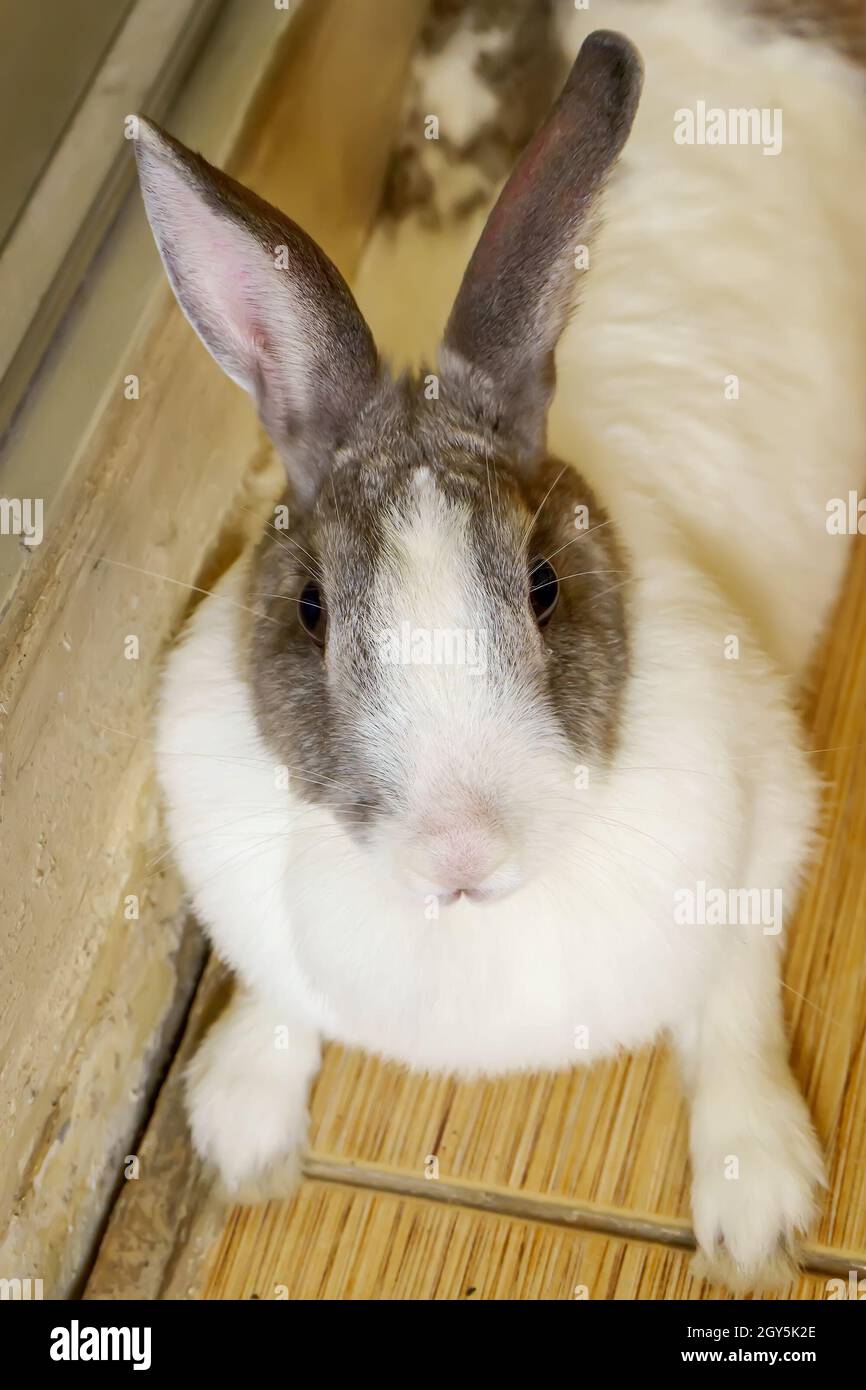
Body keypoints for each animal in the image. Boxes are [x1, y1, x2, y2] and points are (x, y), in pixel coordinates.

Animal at [134, 1, 866, 1292]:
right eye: (312, 608)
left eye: (542, 587)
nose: (457, 854)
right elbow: (277, 995)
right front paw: (238, 1127)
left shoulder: (765, 833)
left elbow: (730, 1013)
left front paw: (754, 1207)